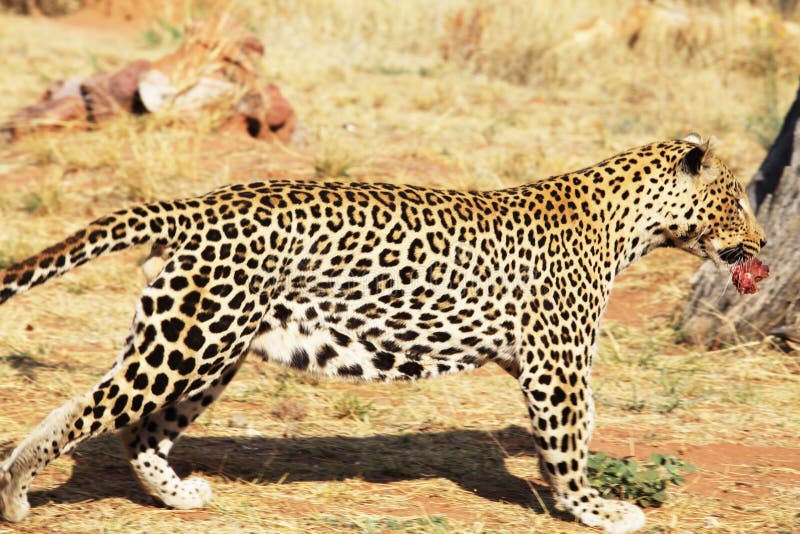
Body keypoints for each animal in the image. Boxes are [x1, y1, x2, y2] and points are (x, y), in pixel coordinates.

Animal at [0, 134, 766, 533]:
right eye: (735, 198)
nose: (761, 244)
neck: (630, 225)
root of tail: (198, 204)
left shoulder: (548, 367)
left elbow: (572, 436)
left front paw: (581, 500)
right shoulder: (557, 367)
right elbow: (571, 442)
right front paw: (593, 508)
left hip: (213, 346)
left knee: (138, 430)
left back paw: (178, 495)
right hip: (188, 341)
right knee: (86, 408)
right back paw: (13, 493)